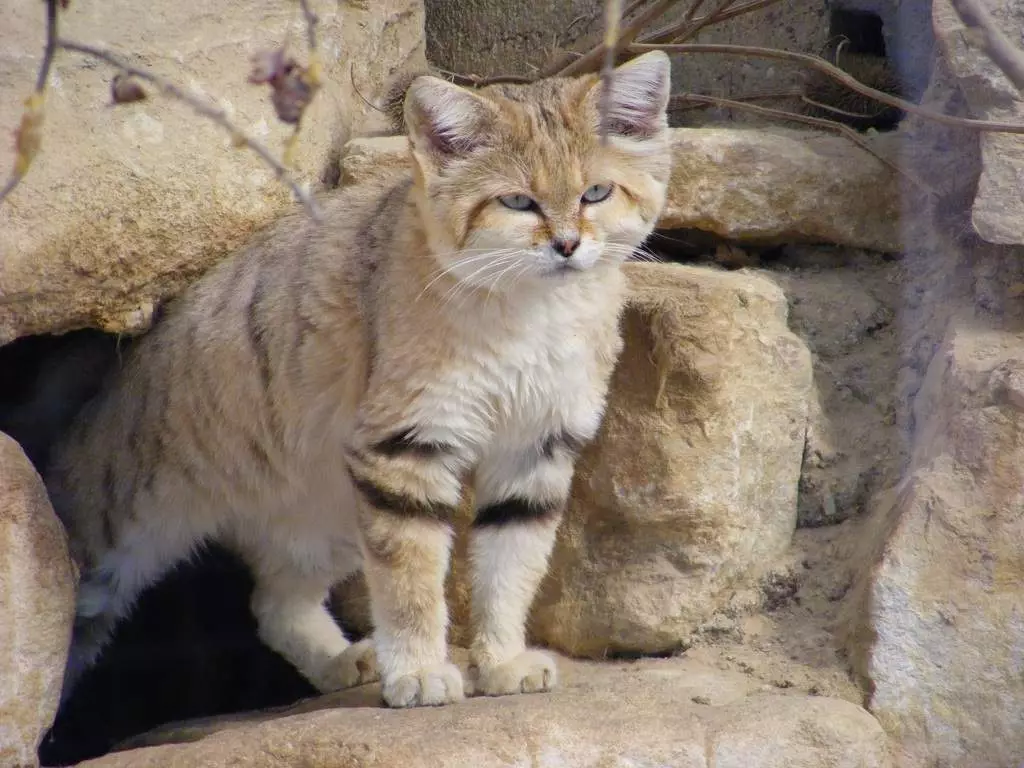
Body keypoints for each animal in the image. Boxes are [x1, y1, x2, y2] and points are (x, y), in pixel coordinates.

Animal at [46, 52, 671, 708]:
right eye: (518, 202)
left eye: (596, 192)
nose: (568, 245)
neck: (533, 312)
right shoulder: (405, 448)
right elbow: (411, 582)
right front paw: (420, 672)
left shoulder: (535, 448)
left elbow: (510, 568)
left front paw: (501, 662)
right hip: (115, 538)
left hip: (327, 514)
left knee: (274, 603)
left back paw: (340, 662)